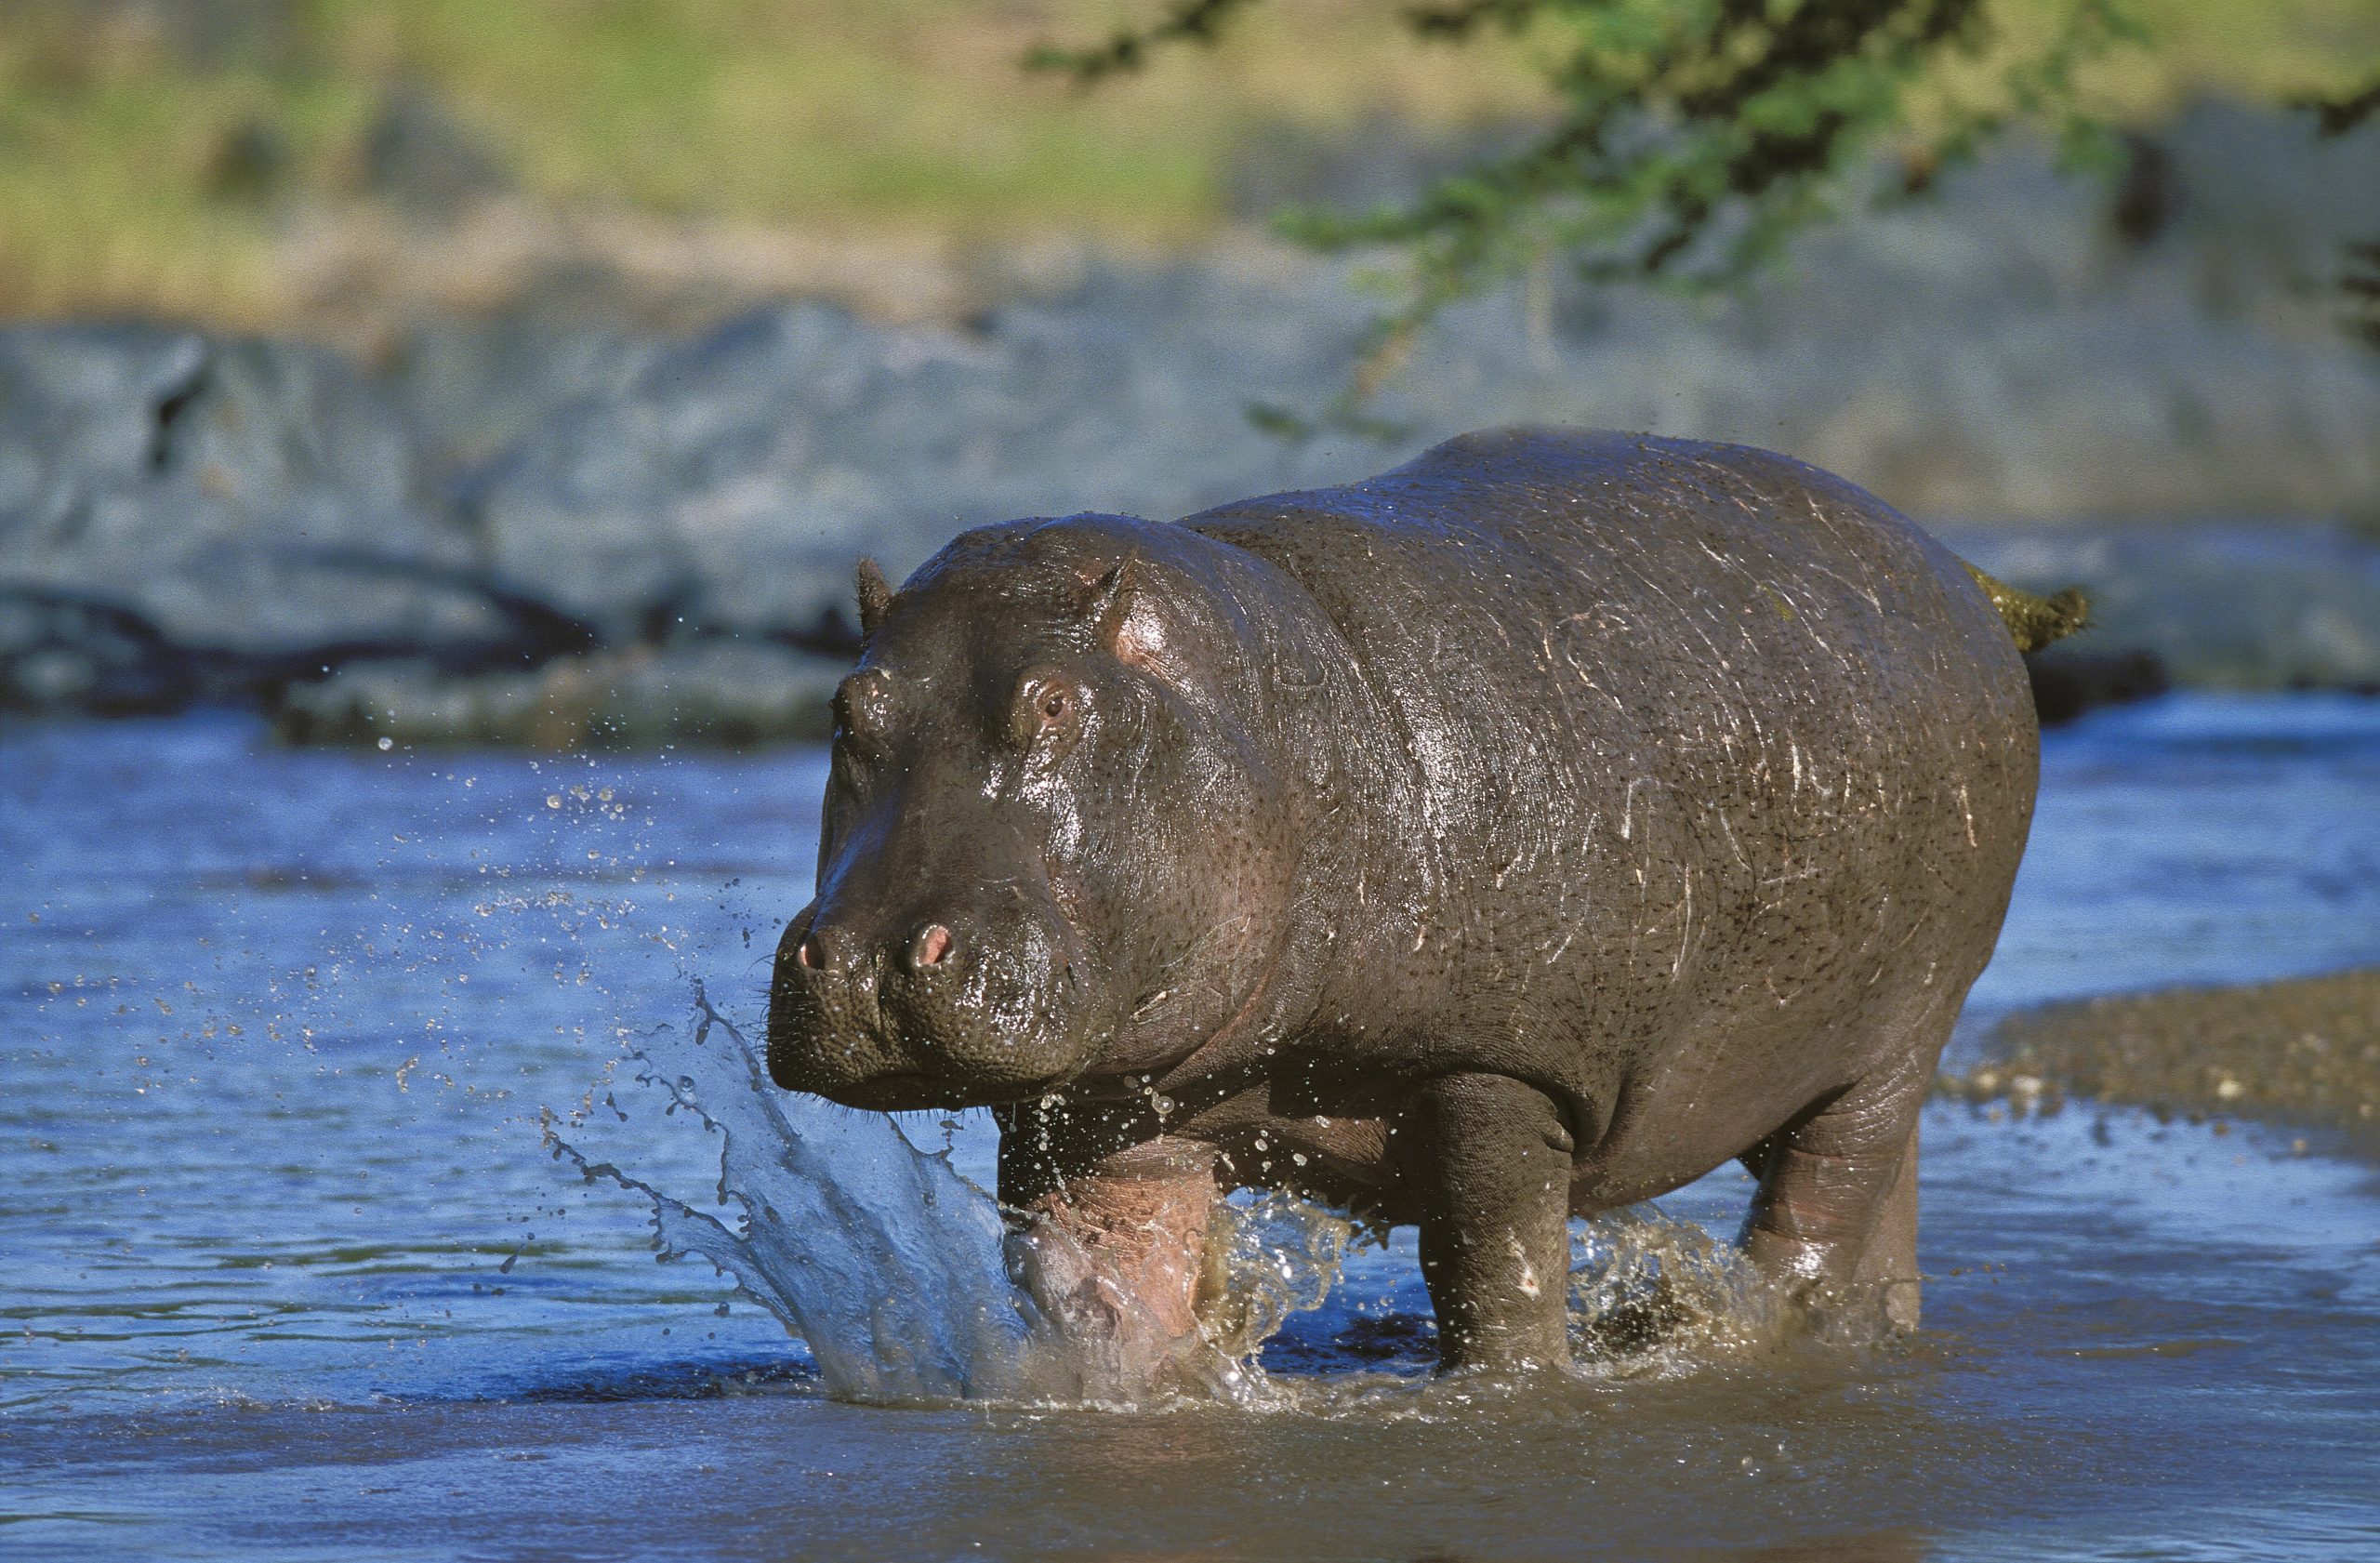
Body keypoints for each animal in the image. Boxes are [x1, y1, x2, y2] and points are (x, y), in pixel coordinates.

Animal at [766, 427, 2082, 1372]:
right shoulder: (1105, 1108)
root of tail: (1955, 567)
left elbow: (1493, 1273)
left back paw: (1746, 1335)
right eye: (848, 708)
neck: (1276, 722)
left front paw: (1511, 1391)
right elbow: (1102, 1287)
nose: (868, 956)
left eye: (1053, 702)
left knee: (1820, 1201)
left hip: (1904, 1029)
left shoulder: (1500, 1070)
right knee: (1883, 1214)